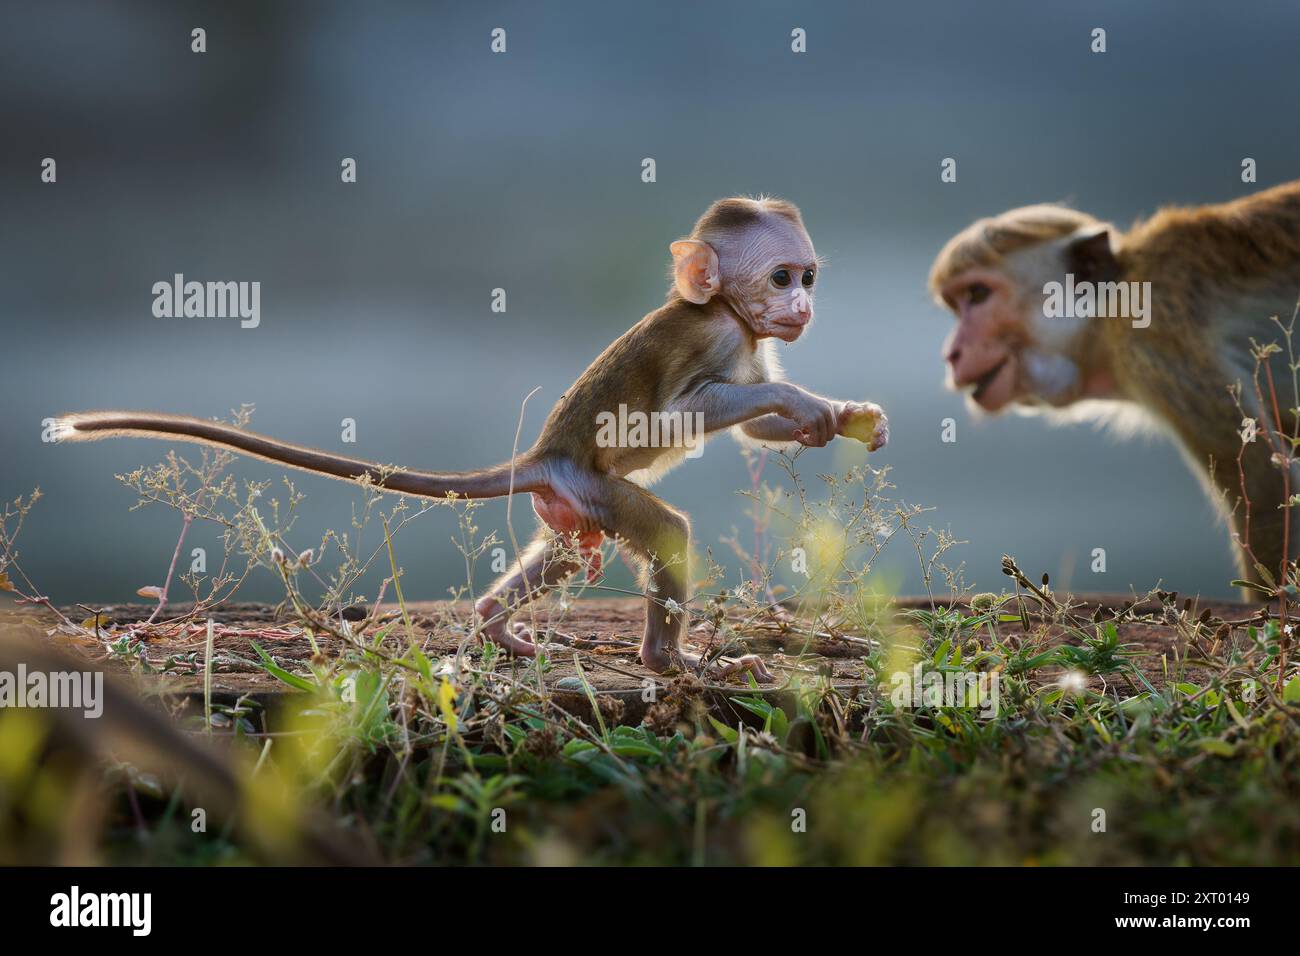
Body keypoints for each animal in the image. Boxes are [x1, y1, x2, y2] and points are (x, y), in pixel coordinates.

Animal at [55, 197, 889, 682]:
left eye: (808, 276)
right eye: (780, 277)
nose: (802, 307)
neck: (731, 316)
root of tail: (546, 456)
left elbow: (752, 425)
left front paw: (838, 417)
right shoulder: (710, 335)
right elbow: (676, 413)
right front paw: (804, 401)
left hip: (573, 502)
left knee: (563, 554)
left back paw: (497, 625)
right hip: (591, 483)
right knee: (664, 531)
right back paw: (667, 658)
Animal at [929, 179, 1300, 592]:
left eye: (977, 295)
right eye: (957, 305)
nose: (951, 354)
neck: (1107, 313)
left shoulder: (1152, 339)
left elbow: (1266, 490)